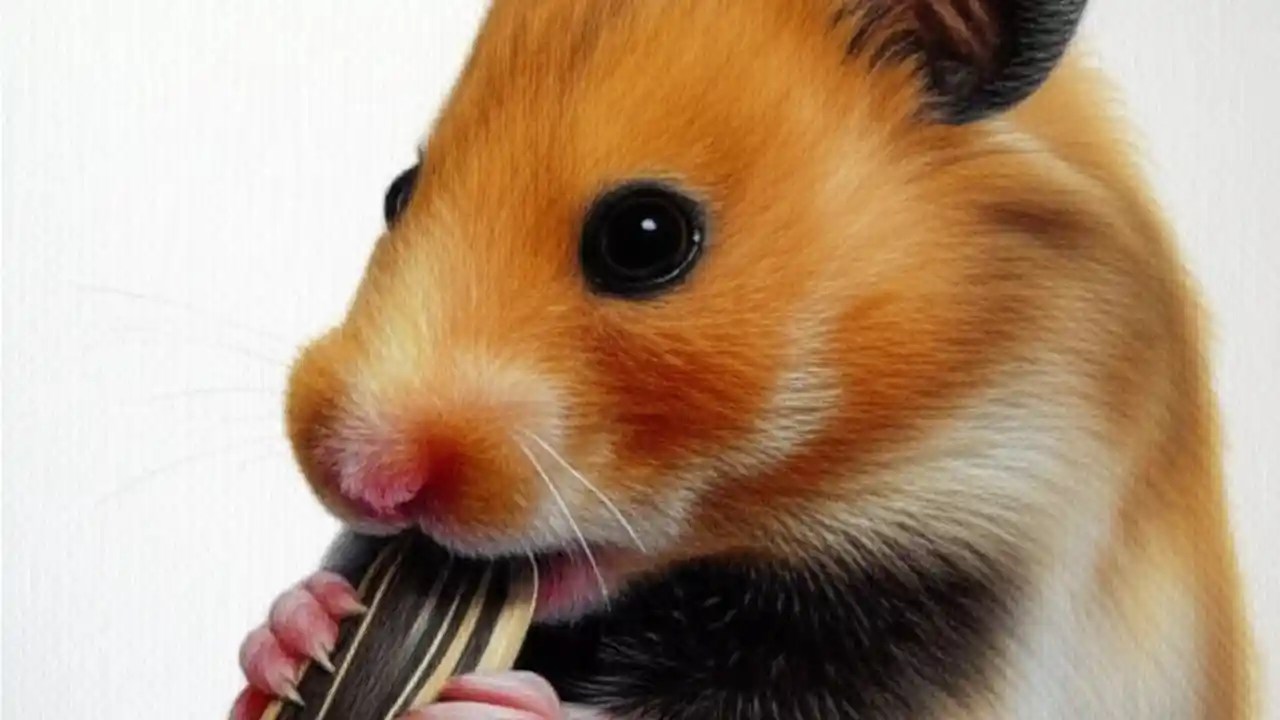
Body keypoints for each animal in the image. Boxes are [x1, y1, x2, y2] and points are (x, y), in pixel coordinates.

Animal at [232, 1, 1256, 718]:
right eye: (399, 192)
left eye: (643, 238)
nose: (361, 479)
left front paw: (492, 703)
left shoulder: (971, 602)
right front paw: (296, 631)